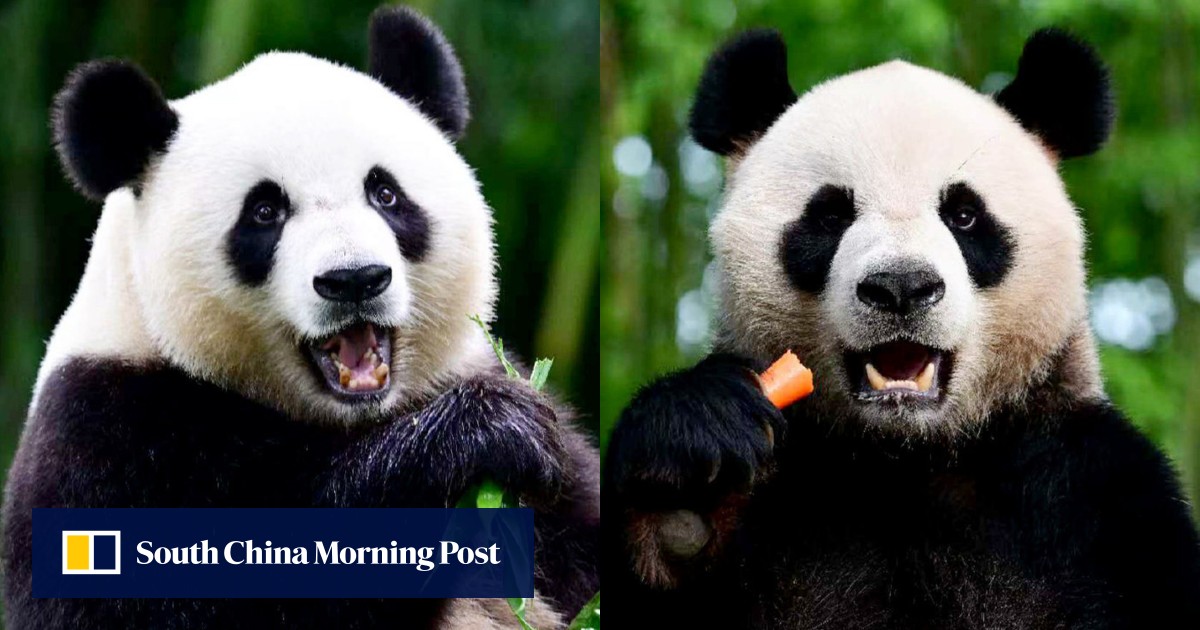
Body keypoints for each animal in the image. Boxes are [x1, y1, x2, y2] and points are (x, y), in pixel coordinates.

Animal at [605, 28, 1200, 628]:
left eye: (964, 215)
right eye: (830, 215)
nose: (901, 287)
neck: (903, 458)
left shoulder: (1091, 495)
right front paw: (685, 491)